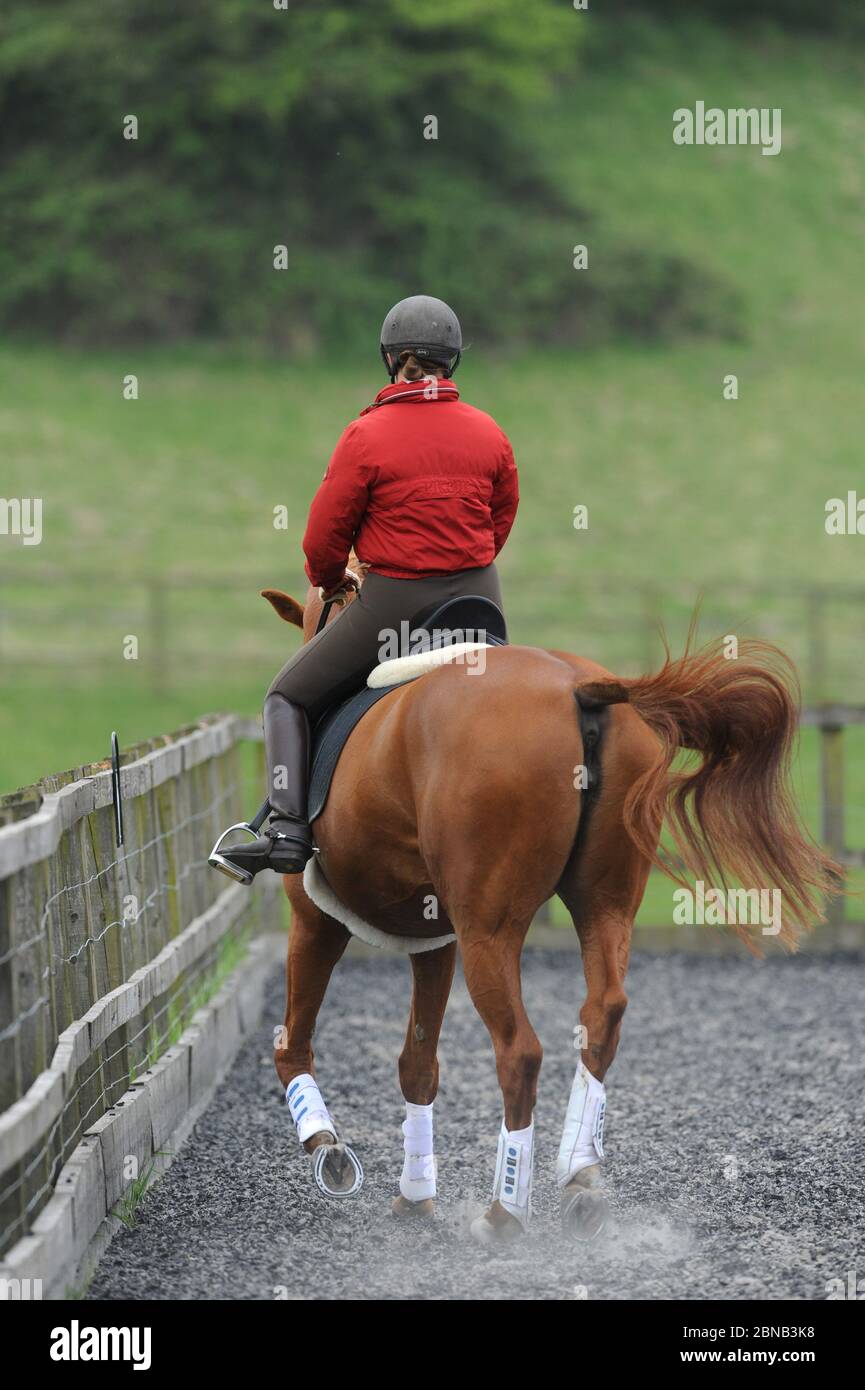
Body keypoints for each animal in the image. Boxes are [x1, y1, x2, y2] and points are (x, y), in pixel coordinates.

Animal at [260, 568, 837, 1242]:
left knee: (520, 1051)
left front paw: (327, 1149)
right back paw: (580, 1176)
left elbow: (293, 1044)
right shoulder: (434, 938)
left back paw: (506, 1209)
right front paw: (415, 1194)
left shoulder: (317, 919)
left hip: (490, 930)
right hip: (603, 907)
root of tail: (577, 686)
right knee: (602, 1015)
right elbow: (418, 1063)